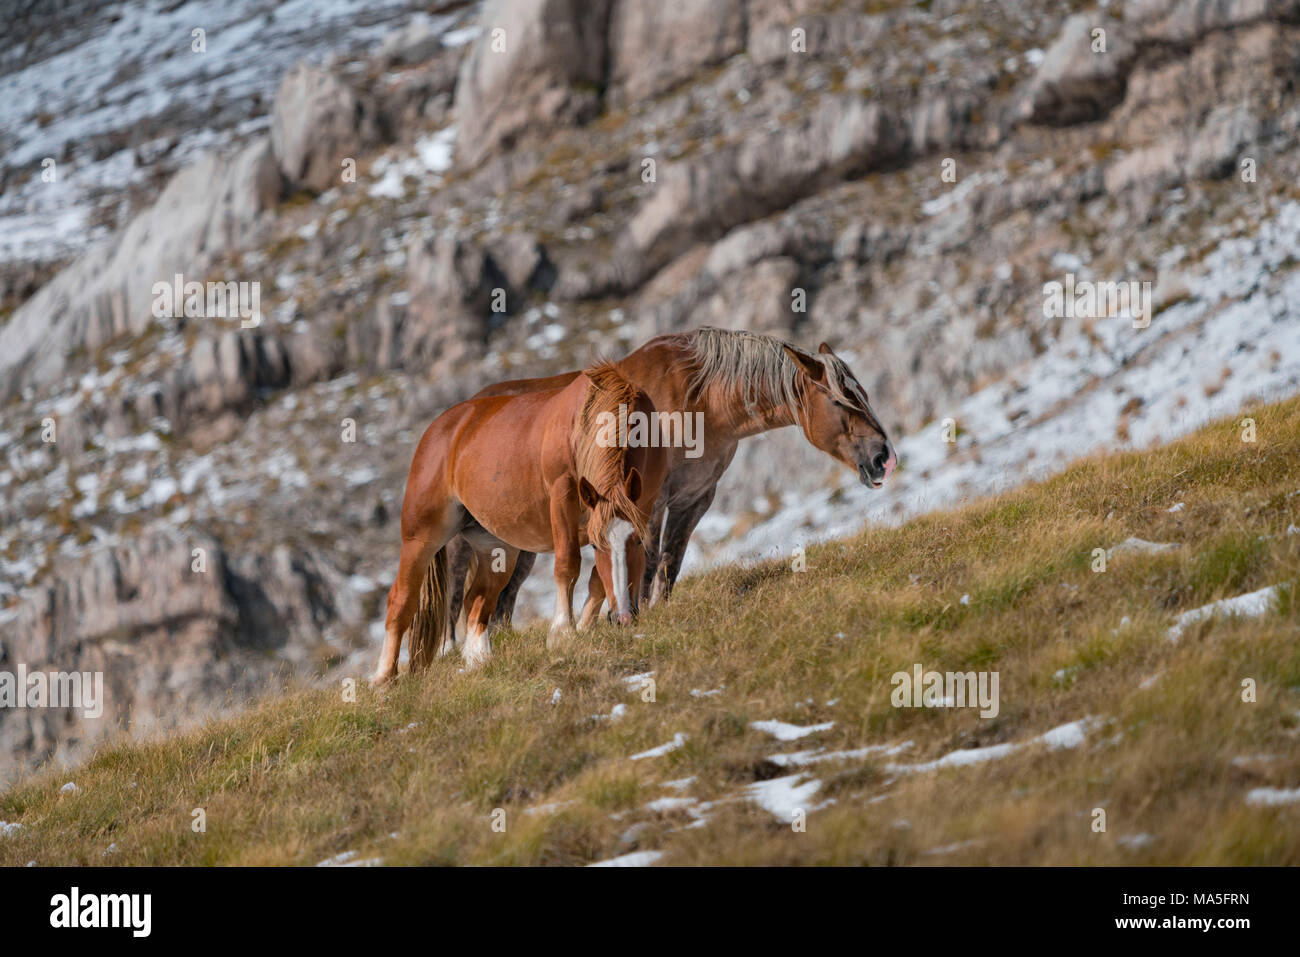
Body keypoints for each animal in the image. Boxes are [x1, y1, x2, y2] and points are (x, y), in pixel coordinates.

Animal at [370, 361, 667, 684]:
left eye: (636, 541)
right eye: (598, 546)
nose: (624, 617)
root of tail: (441, 429)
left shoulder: (643, 504)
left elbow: (597, 578)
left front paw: (586, 625)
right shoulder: (562, 496)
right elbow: (568, 564)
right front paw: (562, 632)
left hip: (496, 547)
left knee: (477, 601)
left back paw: (479, 660)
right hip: (421, 537)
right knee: (401, 600)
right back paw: (383, 678)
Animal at [442, 327, 897, 648]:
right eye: (840, 401)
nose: (884, 457)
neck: (700, 400)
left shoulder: (694, 499)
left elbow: (669, 562)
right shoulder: (651, 500)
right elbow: (647, 559)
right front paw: (629, 615)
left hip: (520, 543)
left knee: (504, 601)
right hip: (464, 540)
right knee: (454, 596)